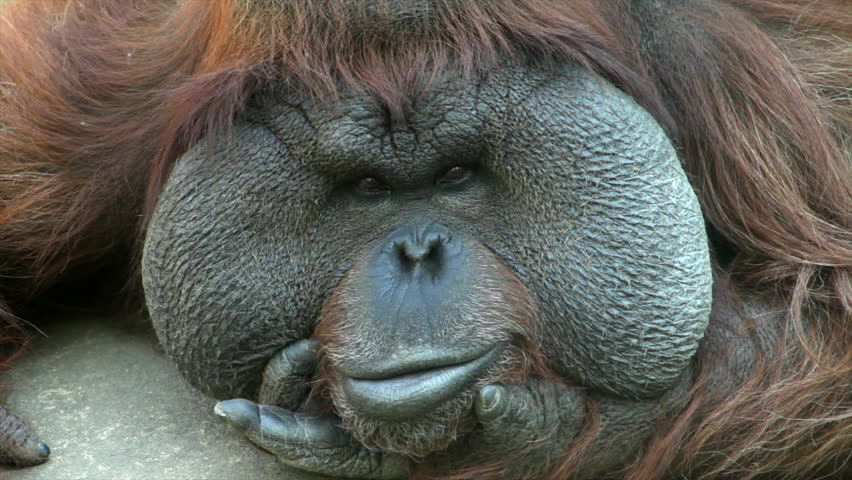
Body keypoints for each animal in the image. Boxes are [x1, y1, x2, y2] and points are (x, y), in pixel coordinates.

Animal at [1, 0, 850, 478]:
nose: (415, 254)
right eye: (369, 188)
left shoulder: (754, 80)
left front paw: (534, 428)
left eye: (456, 175)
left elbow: (829, 324)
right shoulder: (91, 113)